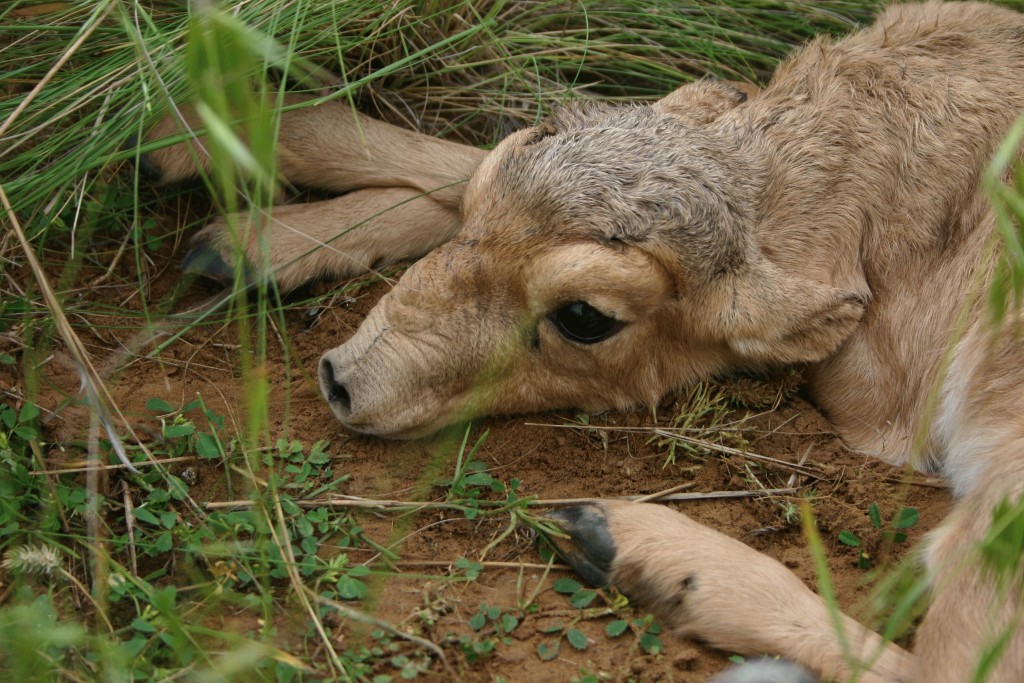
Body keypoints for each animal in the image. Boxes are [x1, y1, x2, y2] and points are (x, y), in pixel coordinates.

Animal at [141, 2, 1024, 681]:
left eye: (584, 318)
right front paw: (227, 156)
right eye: (494, 187)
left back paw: (641, 548)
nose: (343, 378)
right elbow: (448, 163)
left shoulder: (878, 403)